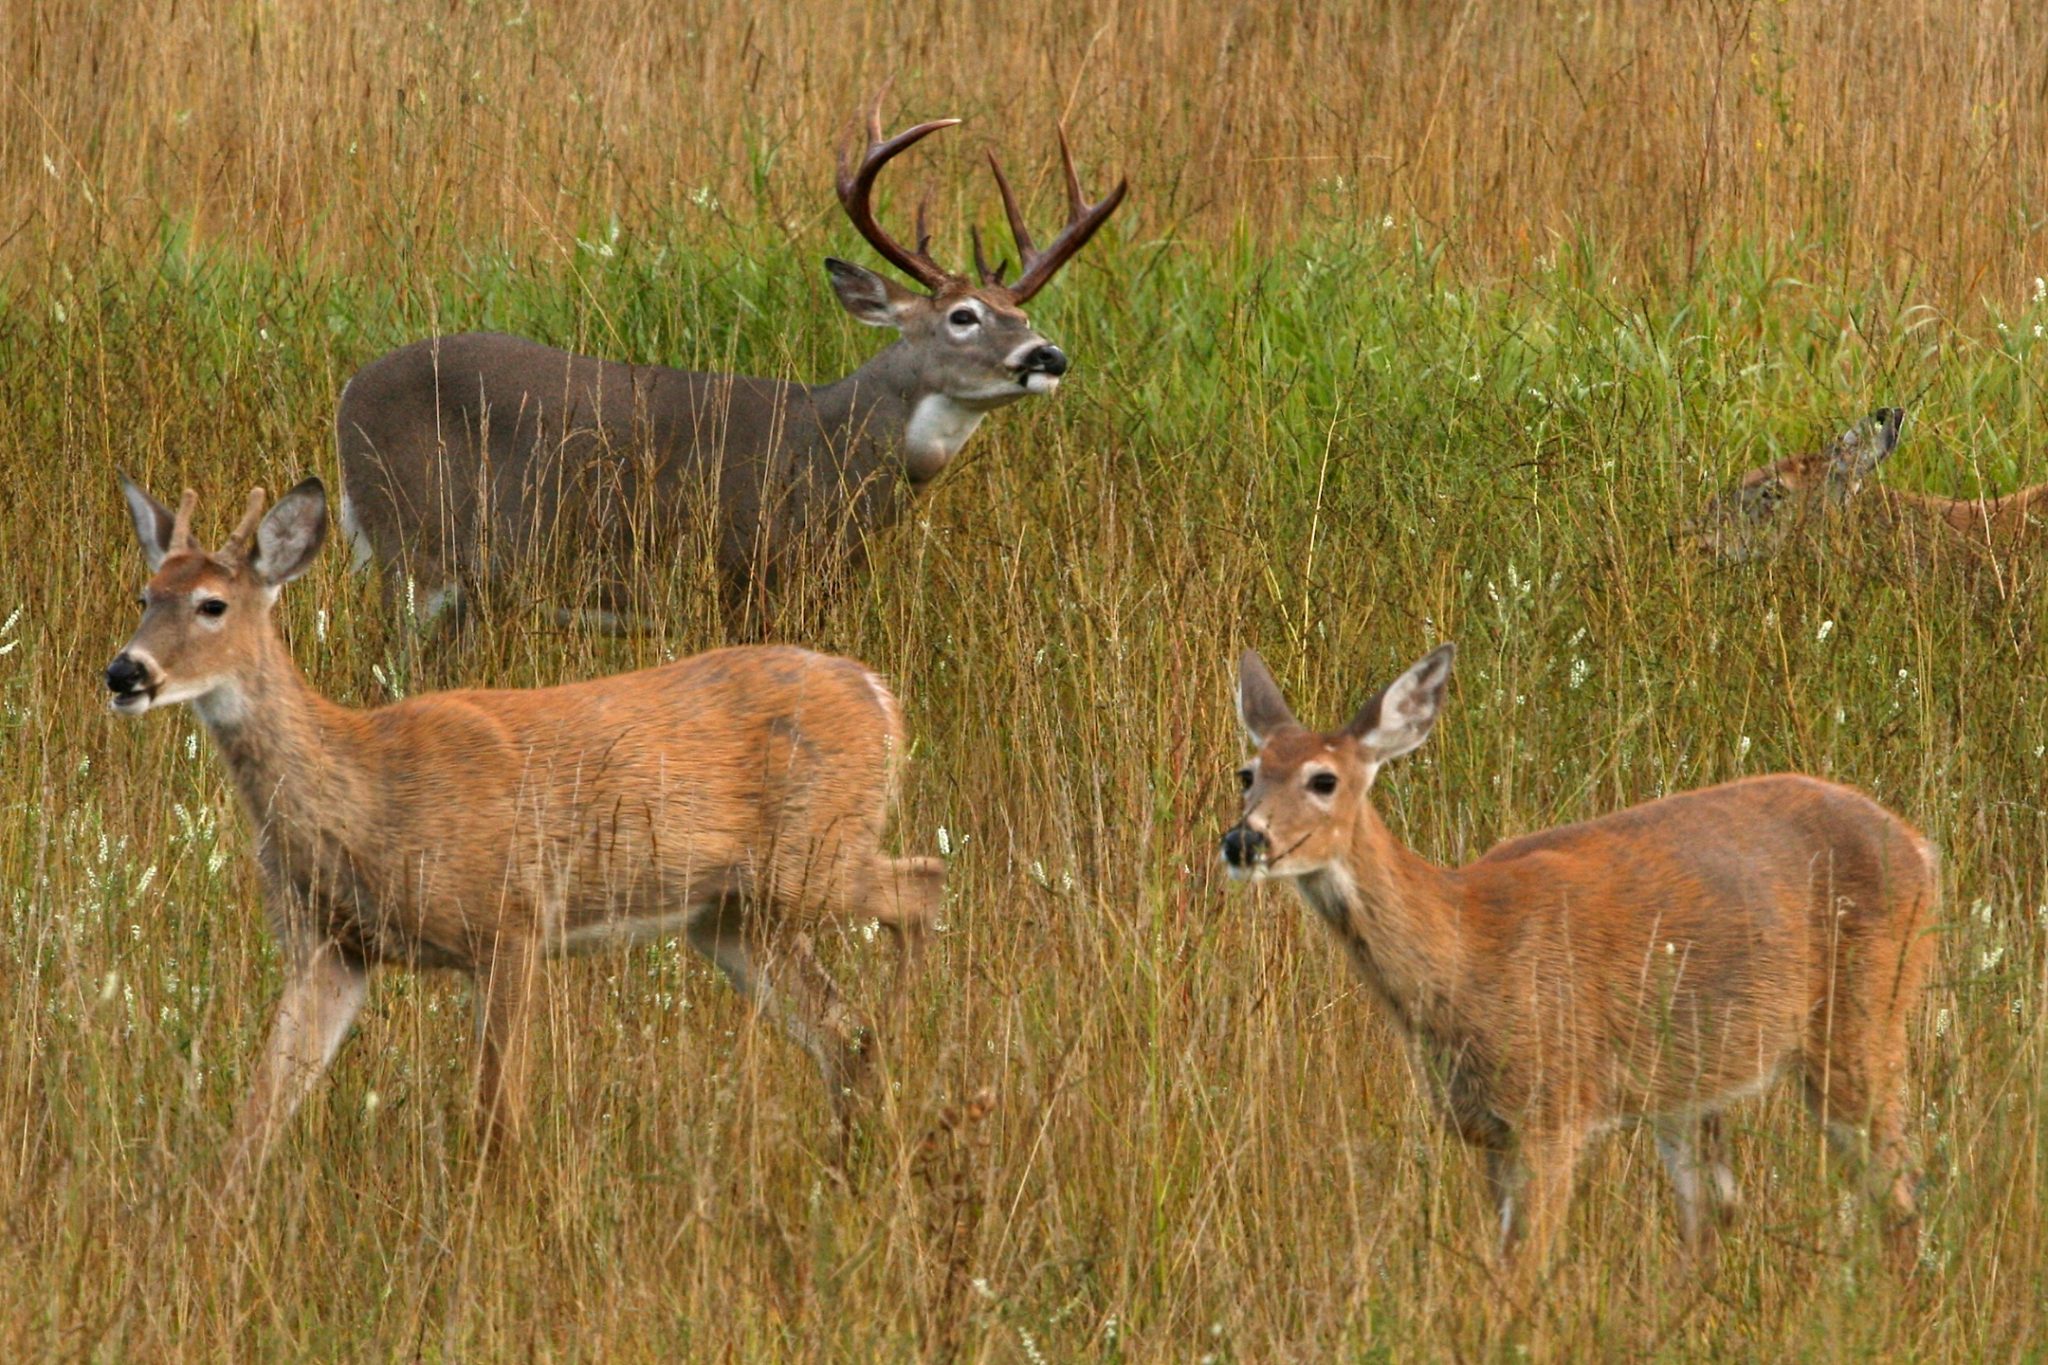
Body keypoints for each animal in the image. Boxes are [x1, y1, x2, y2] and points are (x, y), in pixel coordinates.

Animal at [105, 475, 944, 1189]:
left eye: (212, 604)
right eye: (146, 594)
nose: (125, 672)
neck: (369, 792)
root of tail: (881, 694)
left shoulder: (508, 919)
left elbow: (494, 1118)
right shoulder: (331, 946)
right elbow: (261, 1107)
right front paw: (219, 1222)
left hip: (812, 858)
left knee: (921, 888)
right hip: (734, 918)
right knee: (841, 1030)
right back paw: (852, 1155)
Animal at [334, 95, 1127, 632]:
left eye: (1024, 314)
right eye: (964, 316)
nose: (1048, 354)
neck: (832, 443)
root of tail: (348, 393)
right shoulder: (746, 570)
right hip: (415, 548)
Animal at [1221, 642, 1937, 1279]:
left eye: (1324, 779)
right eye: (1247, 774)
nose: (1243, 840)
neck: (1464, 947)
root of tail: (1921, 848)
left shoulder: (1553, 1108)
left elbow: (1521, 1277)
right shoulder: (1488, 1131)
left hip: (1865, 1018)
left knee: (1899, 1200)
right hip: (1688, 1089)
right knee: (1712, 1222)